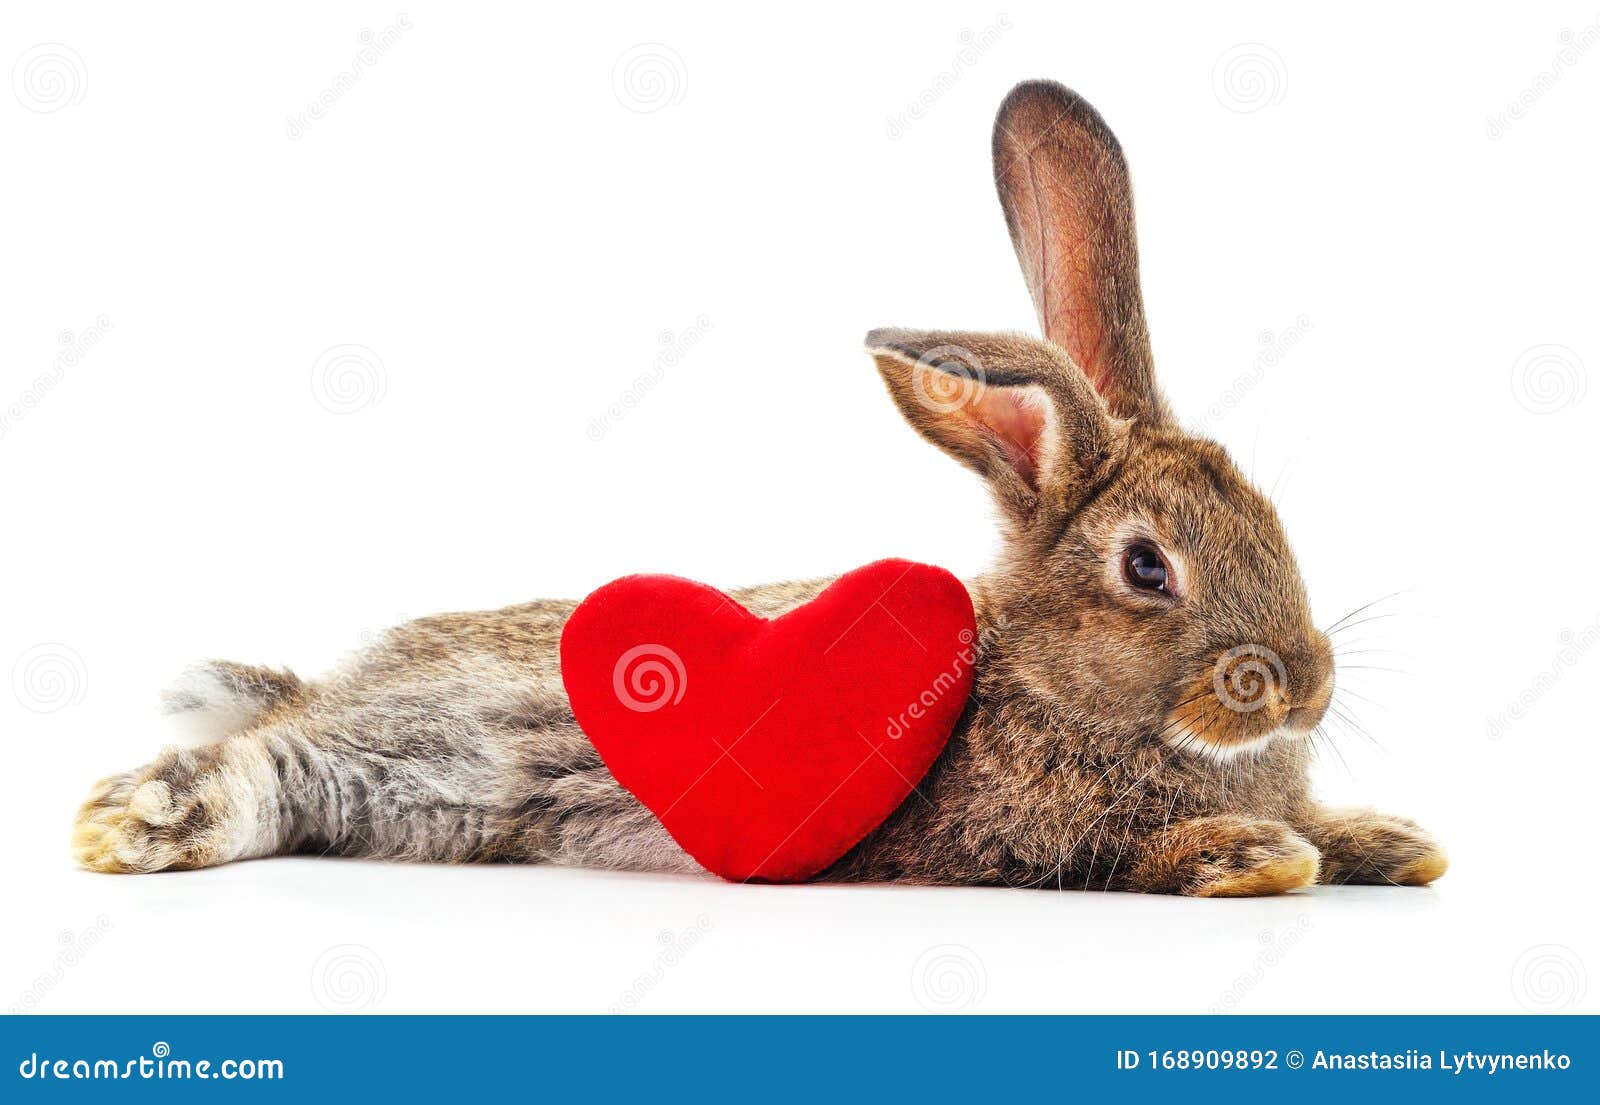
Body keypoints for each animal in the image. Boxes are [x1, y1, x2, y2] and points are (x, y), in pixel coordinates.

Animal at [73, 80, 1445, 895]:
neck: (1041, 682)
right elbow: (1127, 854)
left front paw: (1392, 844)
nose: (1304, 683)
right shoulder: (1005, 837)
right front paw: (1255, 853)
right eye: (1146, 566)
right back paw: (138, 819)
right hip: (436, 757)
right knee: (271, 758)